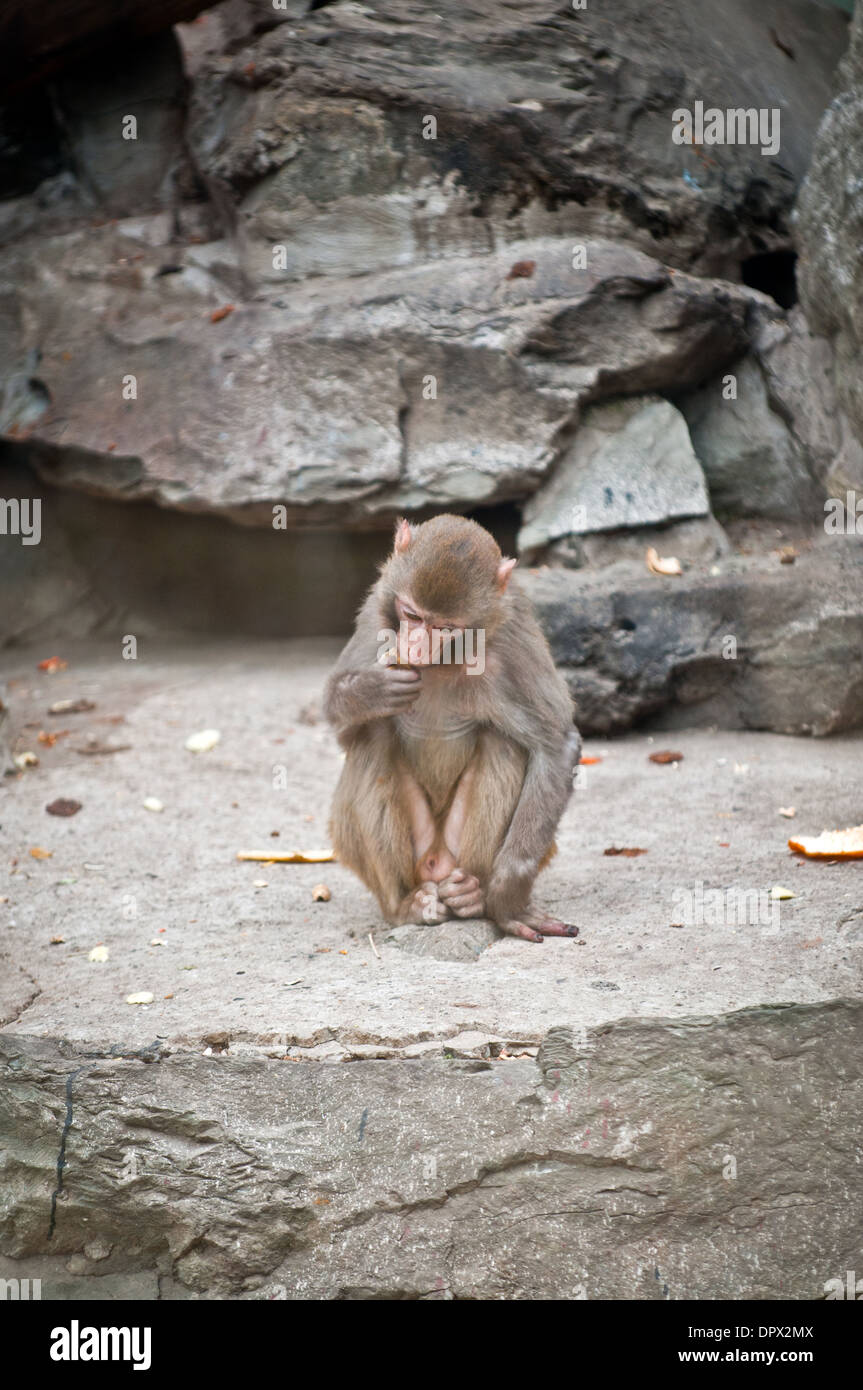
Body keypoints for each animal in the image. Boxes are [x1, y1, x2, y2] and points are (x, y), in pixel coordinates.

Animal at [323, 514, 582, 942]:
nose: (414, 648)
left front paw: (508, 902)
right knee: (372, 737)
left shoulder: (513, 636)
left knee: (503, 741)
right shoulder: (375, 612)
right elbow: (340, 723)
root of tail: (438, 865)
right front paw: (372, 690)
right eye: (412, 615)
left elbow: (556, 745)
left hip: (460, 852)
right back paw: (405, 906)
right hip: (413, 855)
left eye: (445, 627)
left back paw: (474, 896)